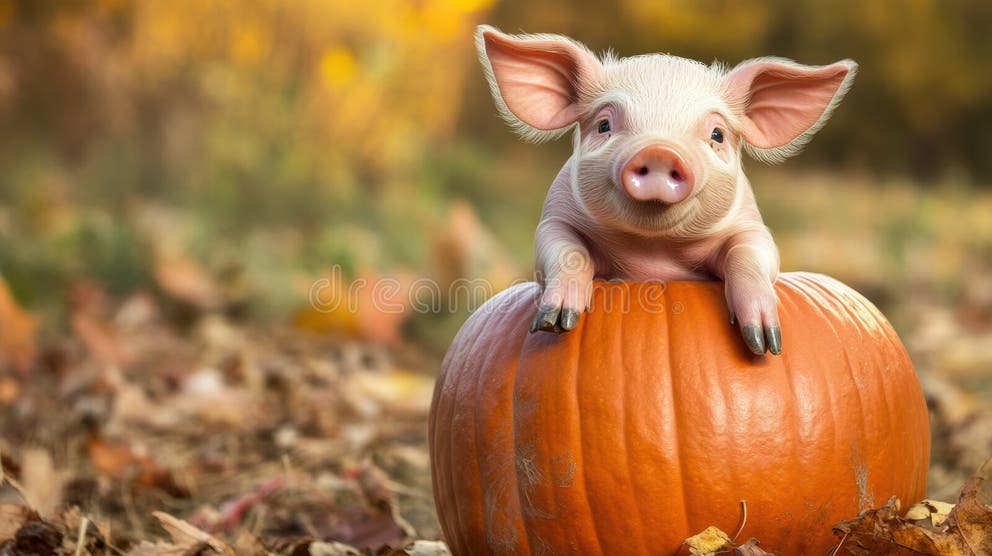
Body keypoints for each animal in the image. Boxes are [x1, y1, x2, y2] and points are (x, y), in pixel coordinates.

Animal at [475, 25, 857, 355]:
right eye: (604, 125)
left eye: (717, 134)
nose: (658, 151)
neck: (654, 255)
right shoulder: (556, 216)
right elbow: (565, 250)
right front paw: (554, 322)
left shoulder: (751, 225)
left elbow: (750, 254)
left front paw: (764, 343)